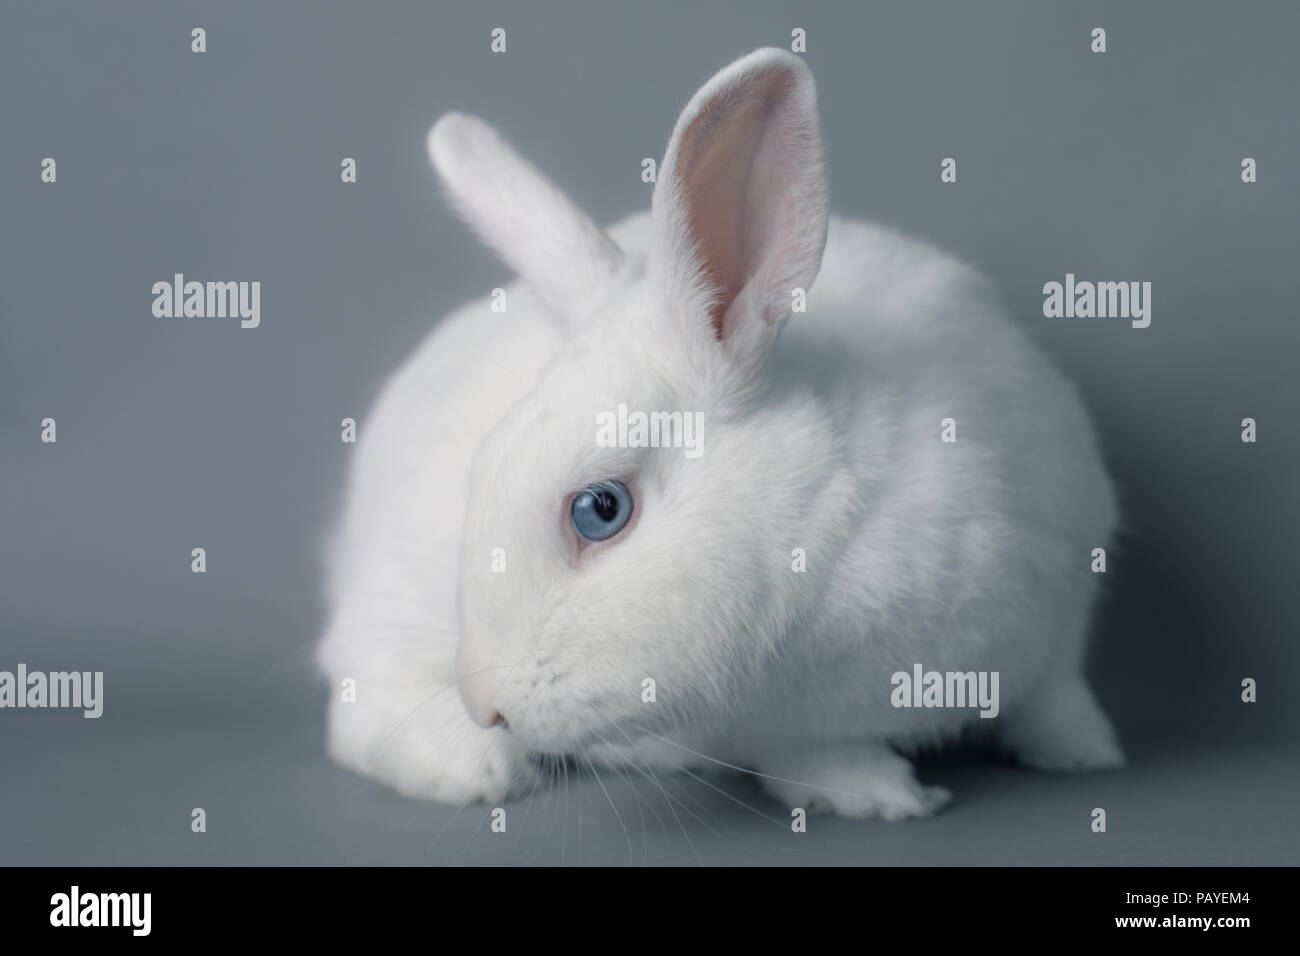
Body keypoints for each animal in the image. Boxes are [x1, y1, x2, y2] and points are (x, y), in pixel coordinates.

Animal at [316, 46, 1123, 820]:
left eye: (600, 509)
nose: (487, 706)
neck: (825, 520)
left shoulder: (1062, 610)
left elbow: (1056, 696)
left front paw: (1084, 754)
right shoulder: (776, 725)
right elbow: (818, 751)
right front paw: (884, 796)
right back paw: (475, 770)